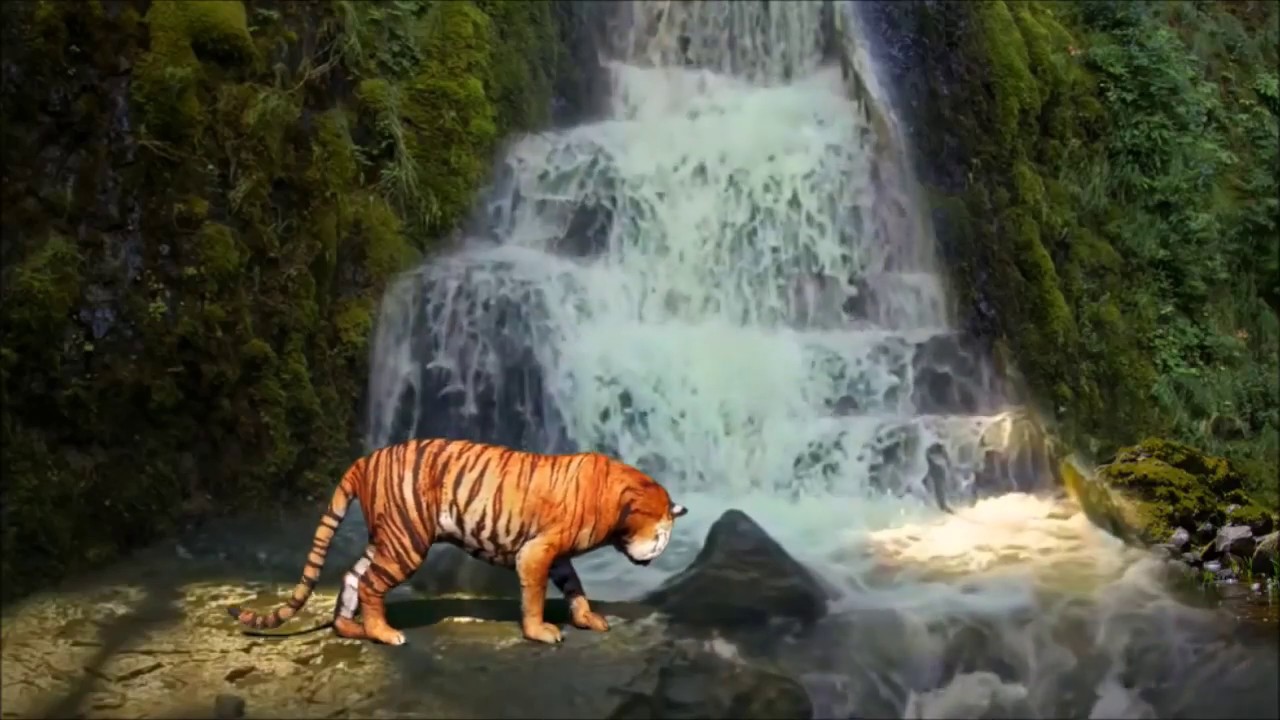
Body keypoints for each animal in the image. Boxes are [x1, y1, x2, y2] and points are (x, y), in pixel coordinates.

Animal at [227, 438, 688, 646]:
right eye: (662, 535)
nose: (654, 559)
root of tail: (366, 457)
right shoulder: (535, 552)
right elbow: (535, 596)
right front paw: (541, 631)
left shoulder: (555, 555)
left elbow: (575, 588)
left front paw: (587, 619)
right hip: (407, 540)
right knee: (372, 583)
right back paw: (384, 633)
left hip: (387, 539)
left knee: (353, 576)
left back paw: (350, 627)